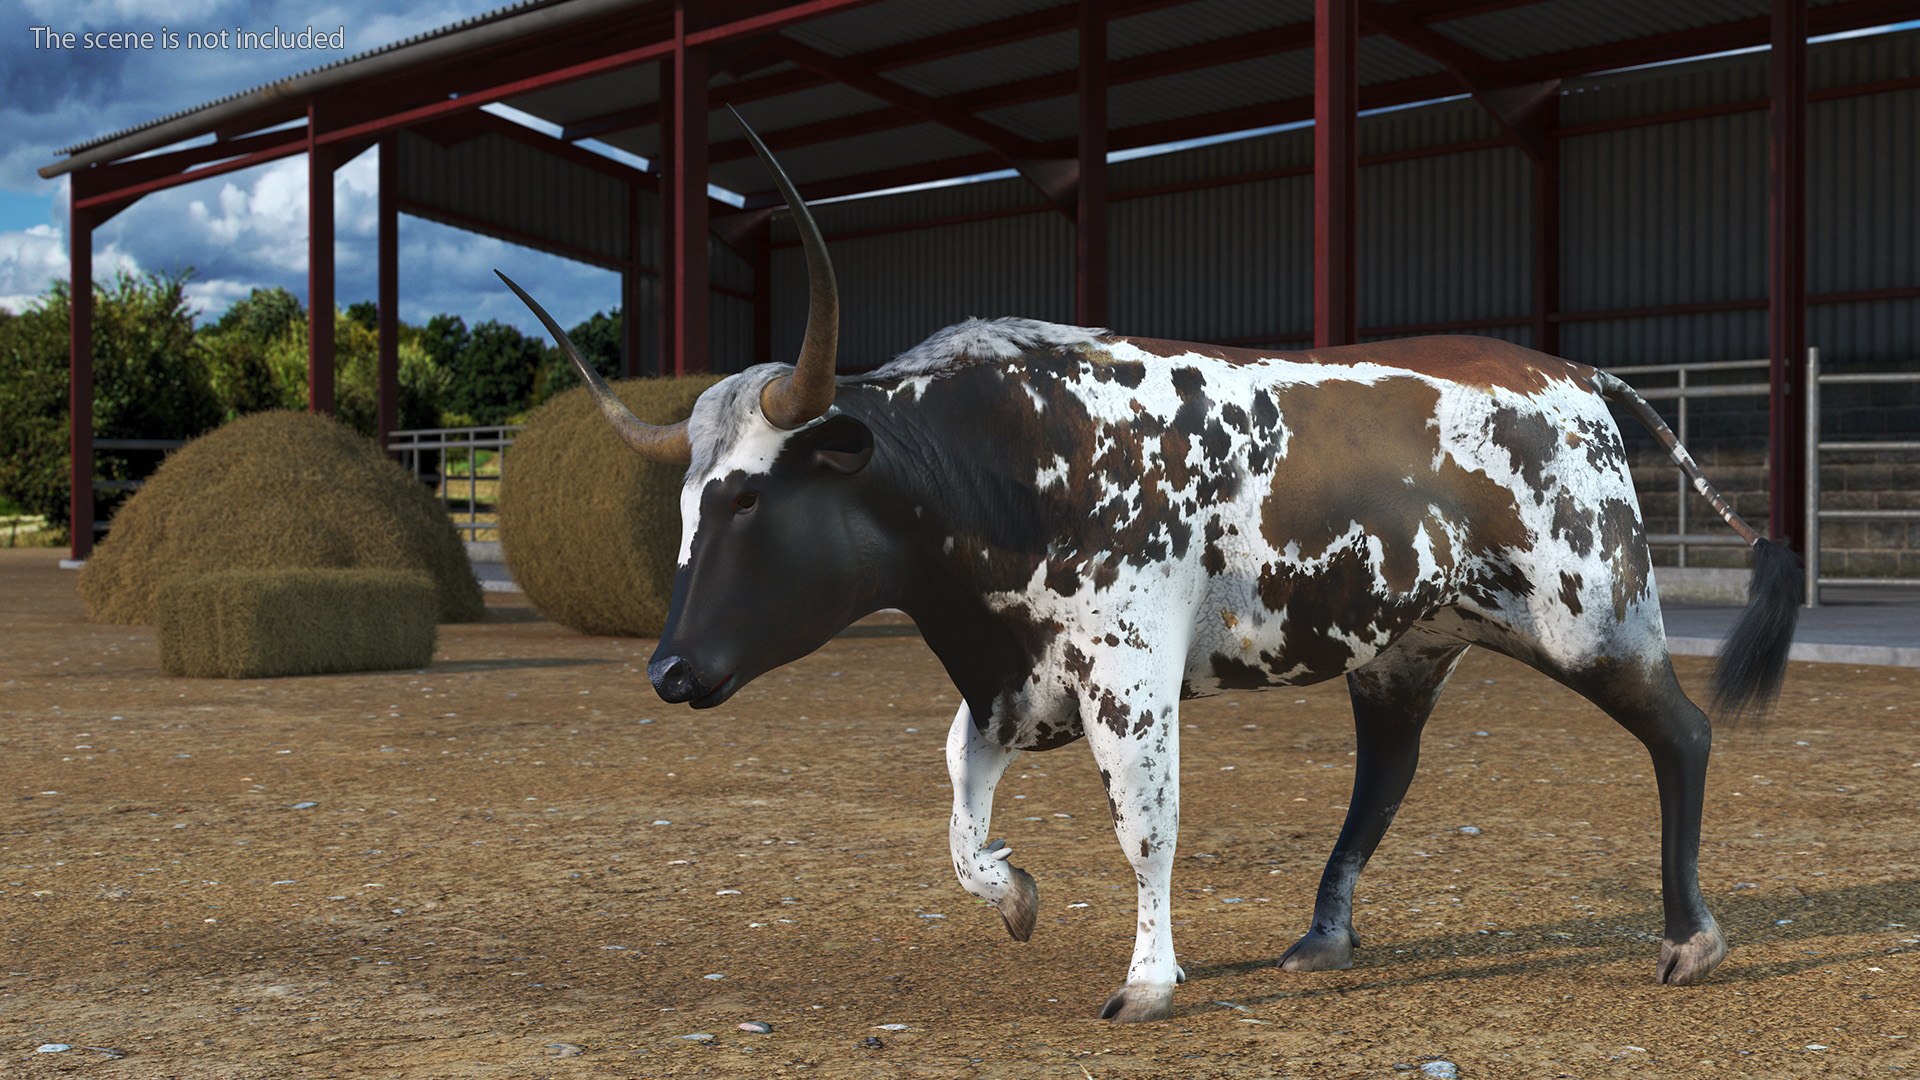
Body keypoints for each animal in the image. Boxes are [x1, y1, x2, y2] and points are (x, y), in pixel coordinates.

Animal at [498, 119, 1800, 1023]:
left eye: (749, 498)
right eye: (681, 504)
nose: (668, 671)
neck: (1012, 460)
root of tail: (1569, 374)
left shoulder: (1128, 676)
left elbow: (1145, 824)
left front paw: (1150, 979)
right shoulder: (1010, 681)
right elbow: (959, 814)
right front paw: (1014, 896)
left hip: (1593, 616)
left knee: (1682, 734)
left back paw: (1689, 938)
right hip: (1406, 648)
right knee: (1386, 777)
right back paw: (1323, 934)